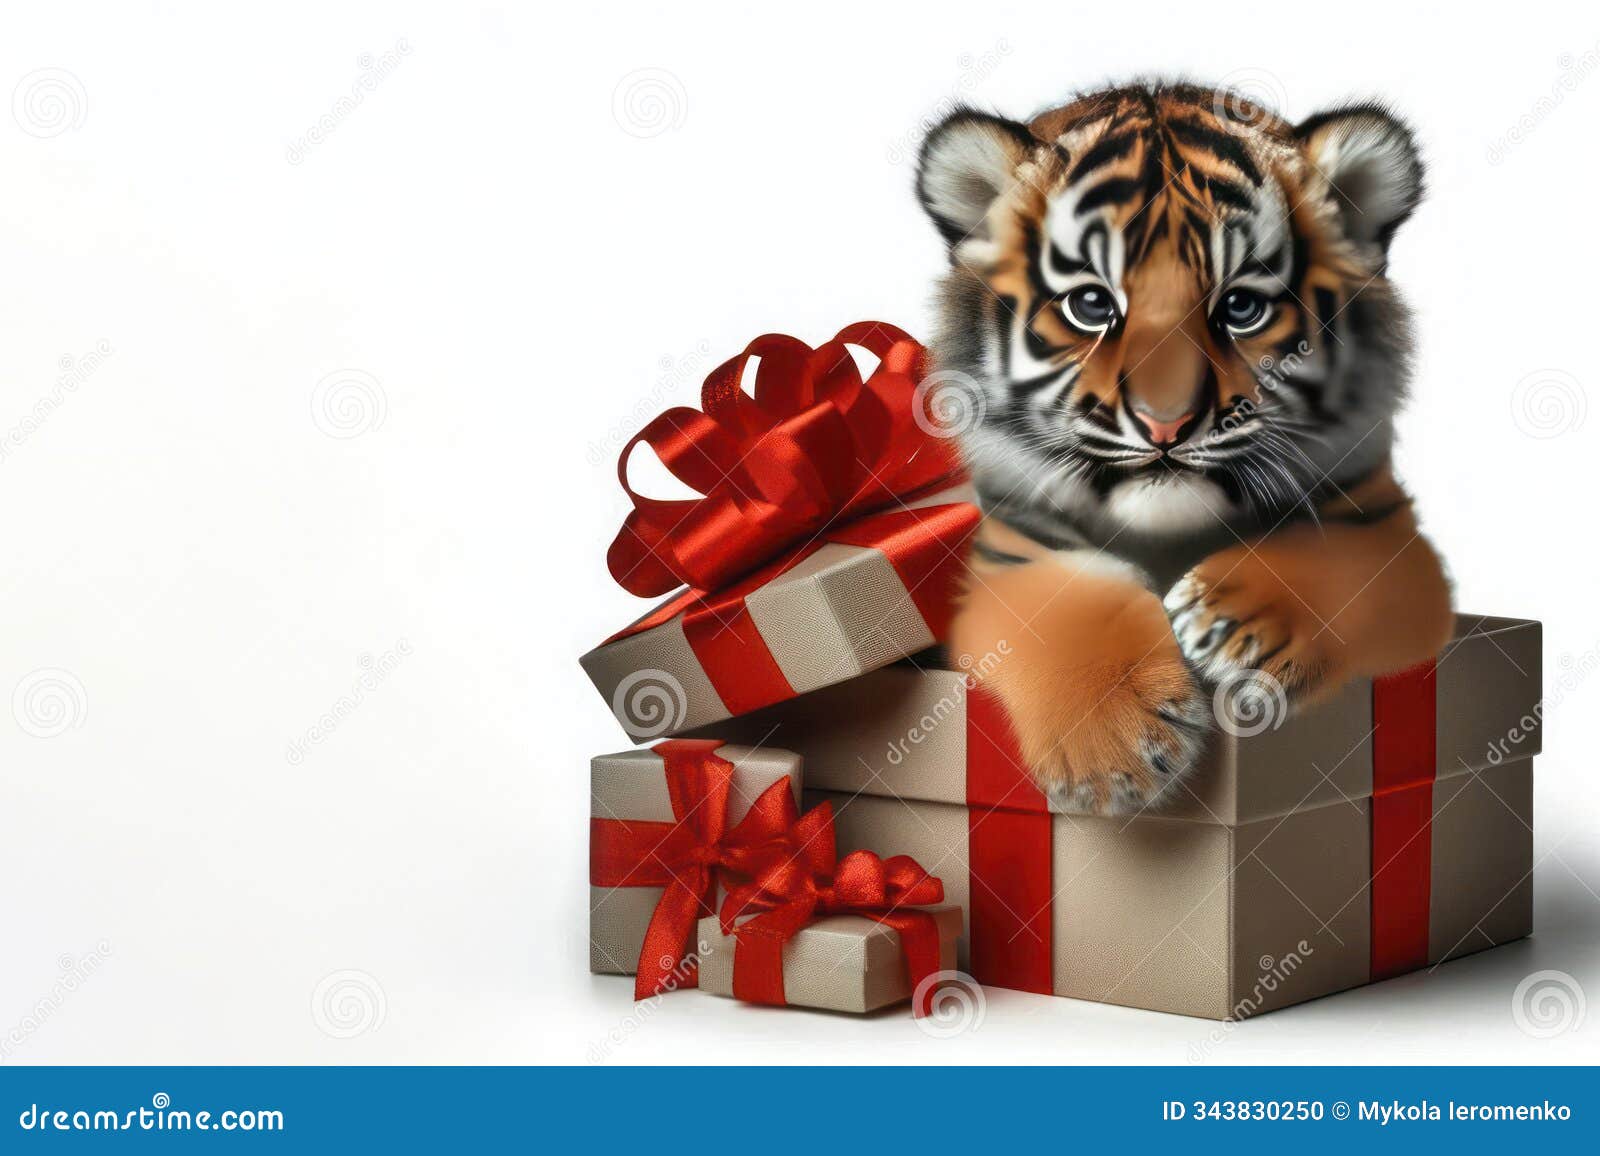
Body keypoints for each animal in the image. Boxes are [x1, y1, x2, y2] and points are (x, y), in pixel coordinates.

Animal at [914, 81, 1453, 814]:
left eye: (1242, 308)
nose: (1165, 424)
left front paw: (1235, 627)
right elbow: (1060, 604)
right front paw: (1117, 748)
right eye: (1091, 304)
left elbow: (1346, 561)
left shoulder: (1394, 539)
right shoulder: (1009, 559)